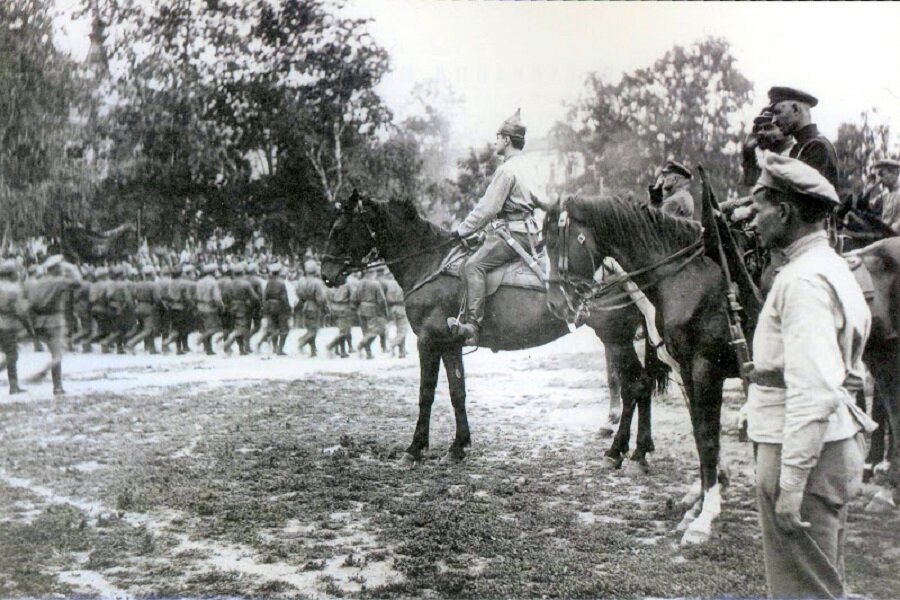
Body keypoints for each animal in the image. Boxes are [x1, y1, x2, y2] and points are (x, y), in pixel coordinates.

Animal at [324, 192, 668, 468]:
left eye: (340, 228)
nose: (327, 273)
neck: (430, 262)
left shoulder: (428, 341)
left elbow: (426, 394)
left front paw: (415, 449)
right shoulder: (450, 344)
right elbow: (457, 393)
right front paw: (458, 446)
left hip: (616, 338)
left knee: (634, 386)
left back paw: (620, 451)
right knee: (640, 386)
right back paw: (639, 449)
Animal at [540, 197, 740, 544]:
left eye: (553, 244)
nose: (556, 305)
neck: (689, 276)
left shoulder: (703, 369)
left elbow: (706, 436)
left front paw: (705, 515)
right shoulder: (684, 370)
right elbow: (700, 434)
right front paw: (700, 500)